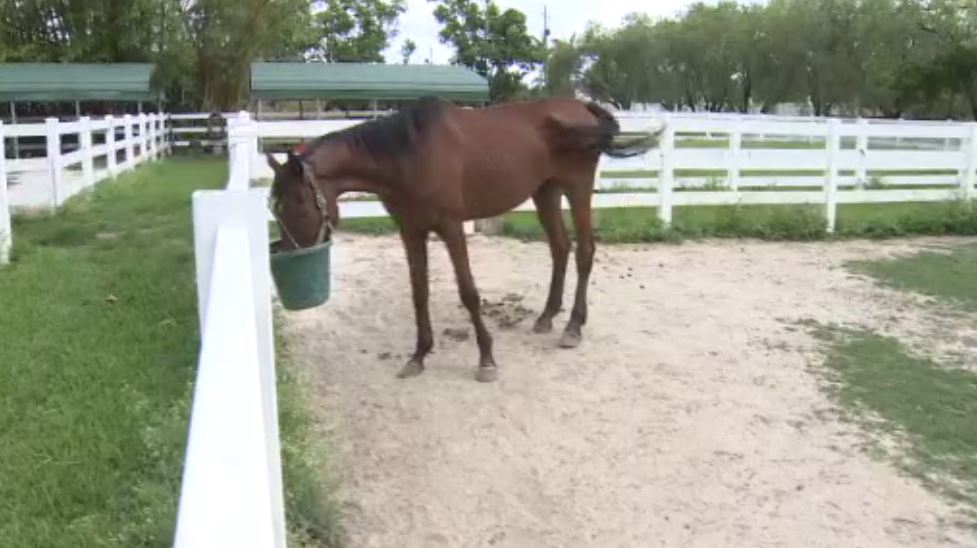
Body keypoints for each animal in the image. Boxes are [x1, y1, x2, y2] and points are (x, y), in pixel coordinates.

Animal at [266, 97, 663, 382]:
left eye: (298, 205)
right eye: (275, 206)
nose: (291, 254)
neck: (408, 155)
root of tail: (581, 107)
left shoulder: (451, 227)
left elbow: (468, 293)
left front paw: (486, 359)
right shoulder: (411, 231)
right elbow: (419, 293)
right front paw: (418, 355)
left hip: (577, 190)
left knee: (584, 252)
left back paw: (573, 328)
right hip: (545, 193)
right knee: (560, 249)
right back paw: (547, 316)